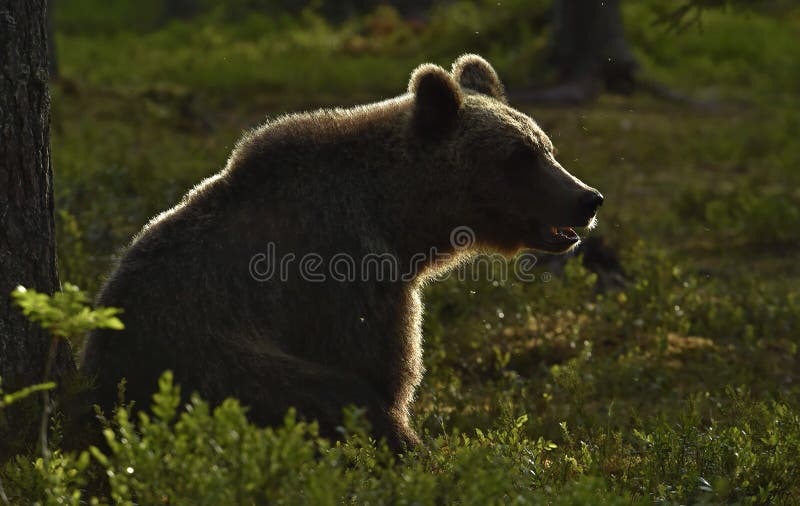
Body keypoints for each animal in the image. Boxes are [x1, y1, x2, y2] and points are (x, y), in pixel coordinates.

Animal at [80, 54, 603, 451]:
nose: (587, 198)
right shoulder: (348, 272)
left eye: (547, 147)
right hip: (214, 367)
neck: (399, 217)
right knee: (326, 394)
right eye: (519, 156)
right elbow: (380, 377)